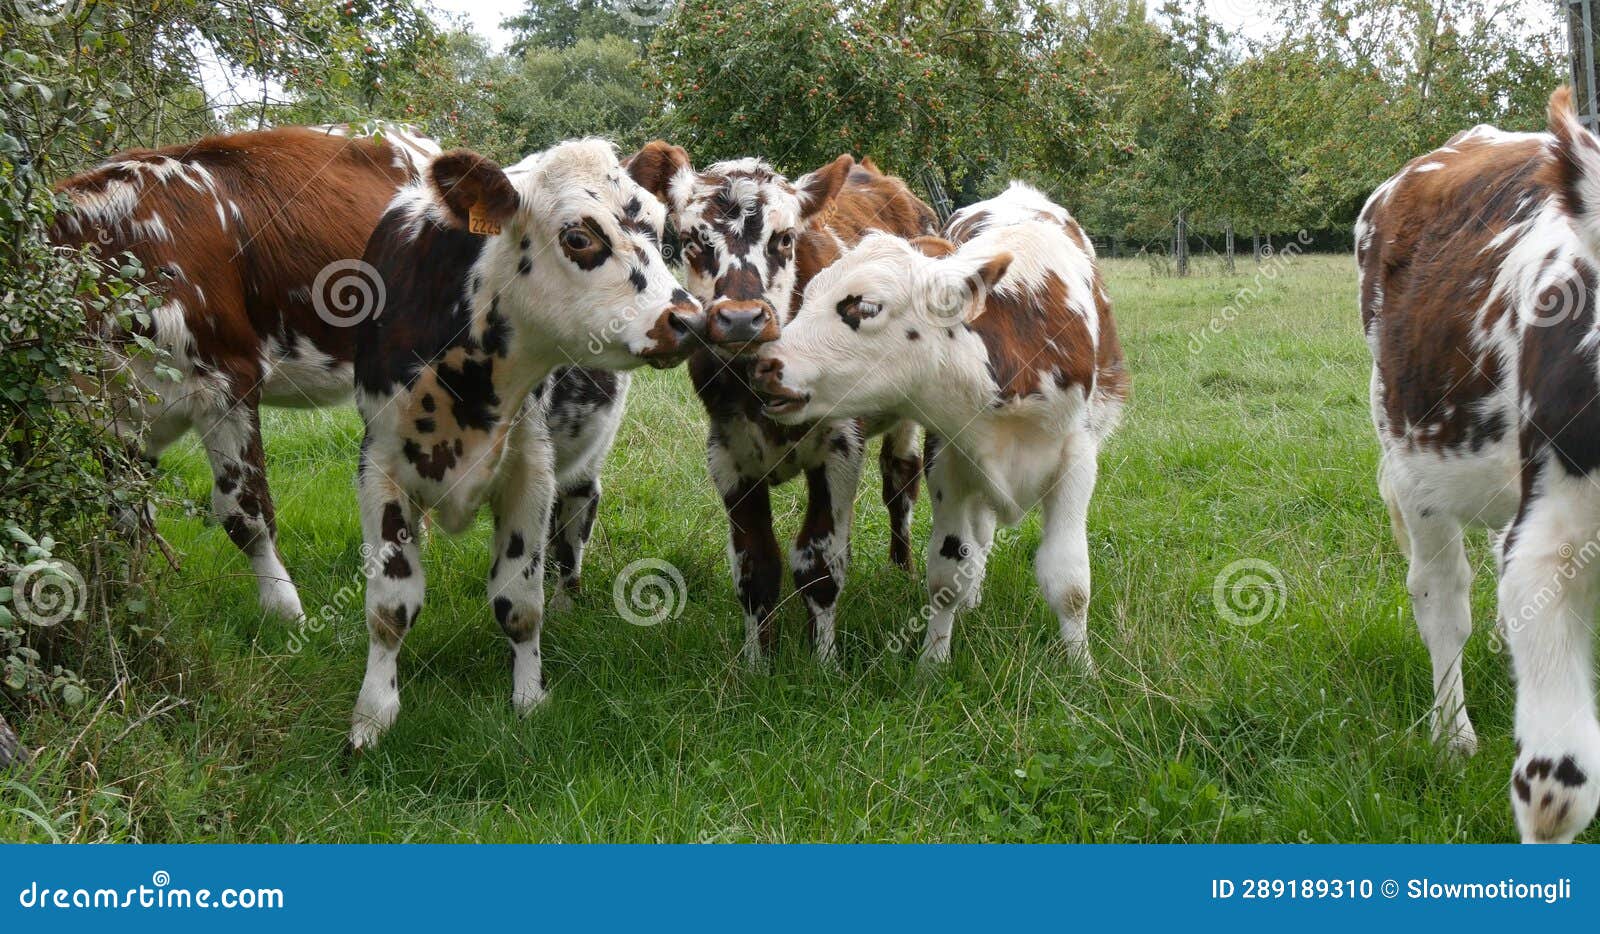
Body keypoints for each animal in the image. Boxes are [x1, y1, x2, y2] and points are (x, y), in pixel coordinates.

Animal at [349, 139, 704, 749]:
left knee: (573, 531)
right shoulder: (379, 467)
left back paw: (567, 599)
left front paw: (529, 695)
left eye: (661, 232)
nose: (687, 320)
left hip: (579, 473)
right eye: (579, 237)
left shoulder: (530, 472)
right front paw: (374, 713)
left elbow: (519, 603)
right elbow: (390, 609)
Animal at [632, 142, 936, 665]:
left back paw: (903, 571)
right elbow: (757, 566)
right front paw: (757, 663)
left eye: (785, 238)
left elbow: (820, 562)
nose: (741, 319)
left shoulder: (841, 448)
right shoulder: (727, 457)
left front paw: (824, 661)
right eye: (691, 239)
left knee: (900, 481)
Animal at [752, 182, 1128, 670]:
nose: (764, 363)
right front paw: (932, 663)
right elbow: (948, 572)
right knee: (979, 537)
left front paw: (1081, 667)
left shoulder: (1076, 460)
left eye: (865, 306)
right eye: (808, 295)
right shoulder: (947, 457)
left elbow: (1070, 580)